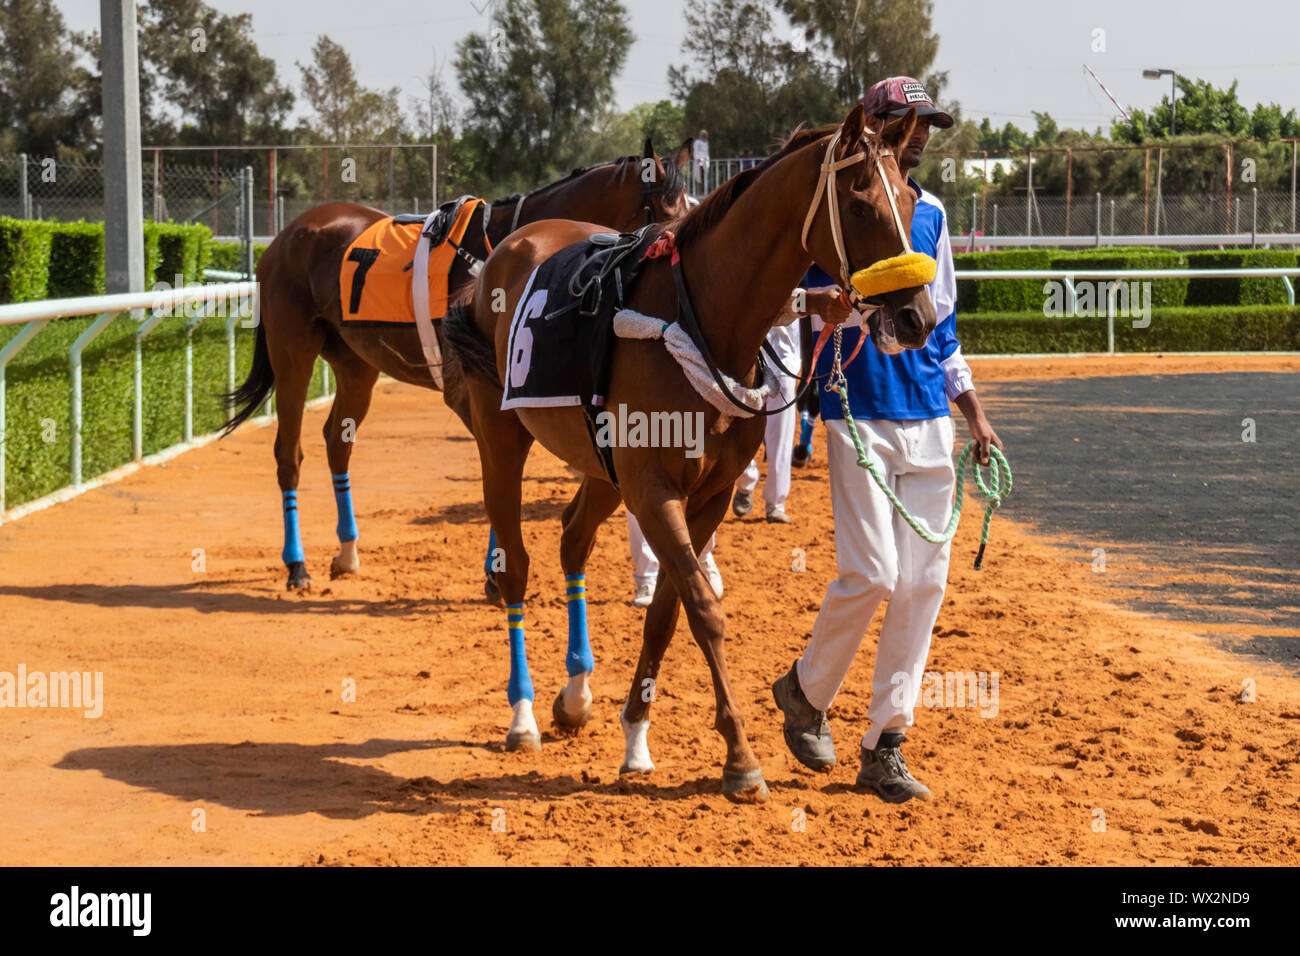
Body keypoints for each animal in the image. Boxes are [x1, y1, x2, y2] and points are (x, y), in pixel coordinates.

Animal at [221, 140, 691, 591]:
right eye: (669, 211)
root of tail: (287, 235)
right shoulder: (468, 387)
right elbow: (496, 477)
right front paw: (495, 574)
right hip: (292, 351)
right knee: (289, 452)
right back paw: (297, 565)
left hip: (356, 364)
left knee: (338, 442)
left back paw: (347, 553)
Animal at [442, 103, 939, 801]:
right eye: (862, 205)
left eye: (911, 199)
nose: (918, 317)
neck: (703, 319)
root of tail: (505, 251)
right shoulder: (655, 491)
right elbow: (704, 610)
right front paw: (740, 757)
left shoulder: (706, 493)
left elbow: (667, 614)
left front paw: (635, 737)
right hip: (501, 436)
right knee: (515, 566)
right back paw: (524, 716)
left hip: (604, 469)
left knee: (572, 539)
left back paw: (576, 695)